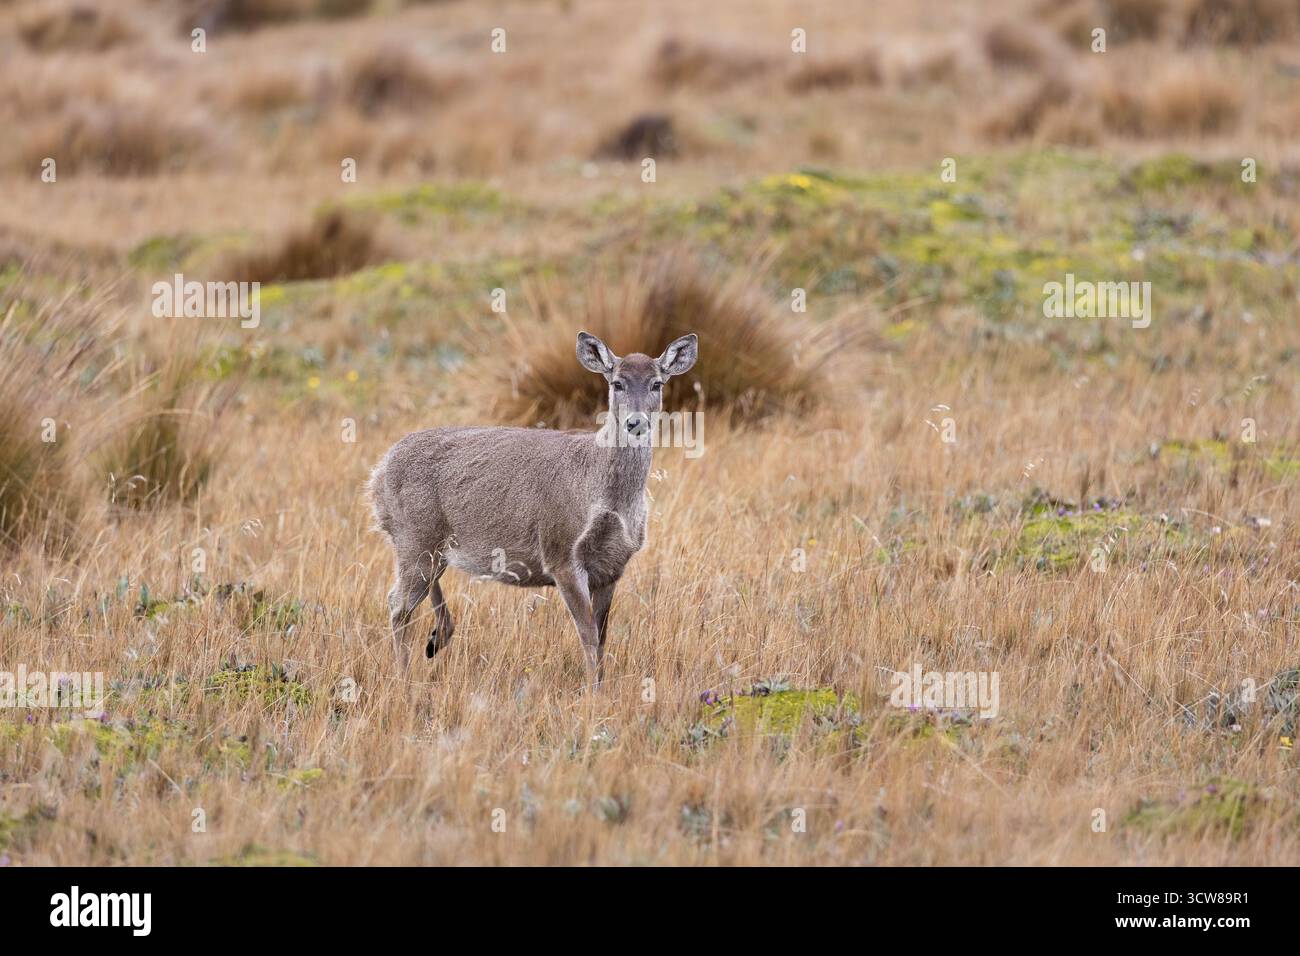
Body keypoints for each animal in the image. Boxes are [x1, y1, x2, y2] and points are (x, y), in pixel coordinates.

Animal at [367, 331, 698, 685]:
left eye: (657, 383)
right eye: (617, 383)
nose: (635, 423)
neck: (602, 491)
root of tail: (378, 475)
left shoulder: (612, 567)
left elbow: (602, 635)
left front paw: (602, 684)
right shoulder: (560, 551)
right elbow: (587, 634)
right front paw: (593, 691)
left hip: (425, 544)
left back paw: (436, 639)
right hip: (415, 535)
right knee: (397, 604)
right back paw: (405, 679)